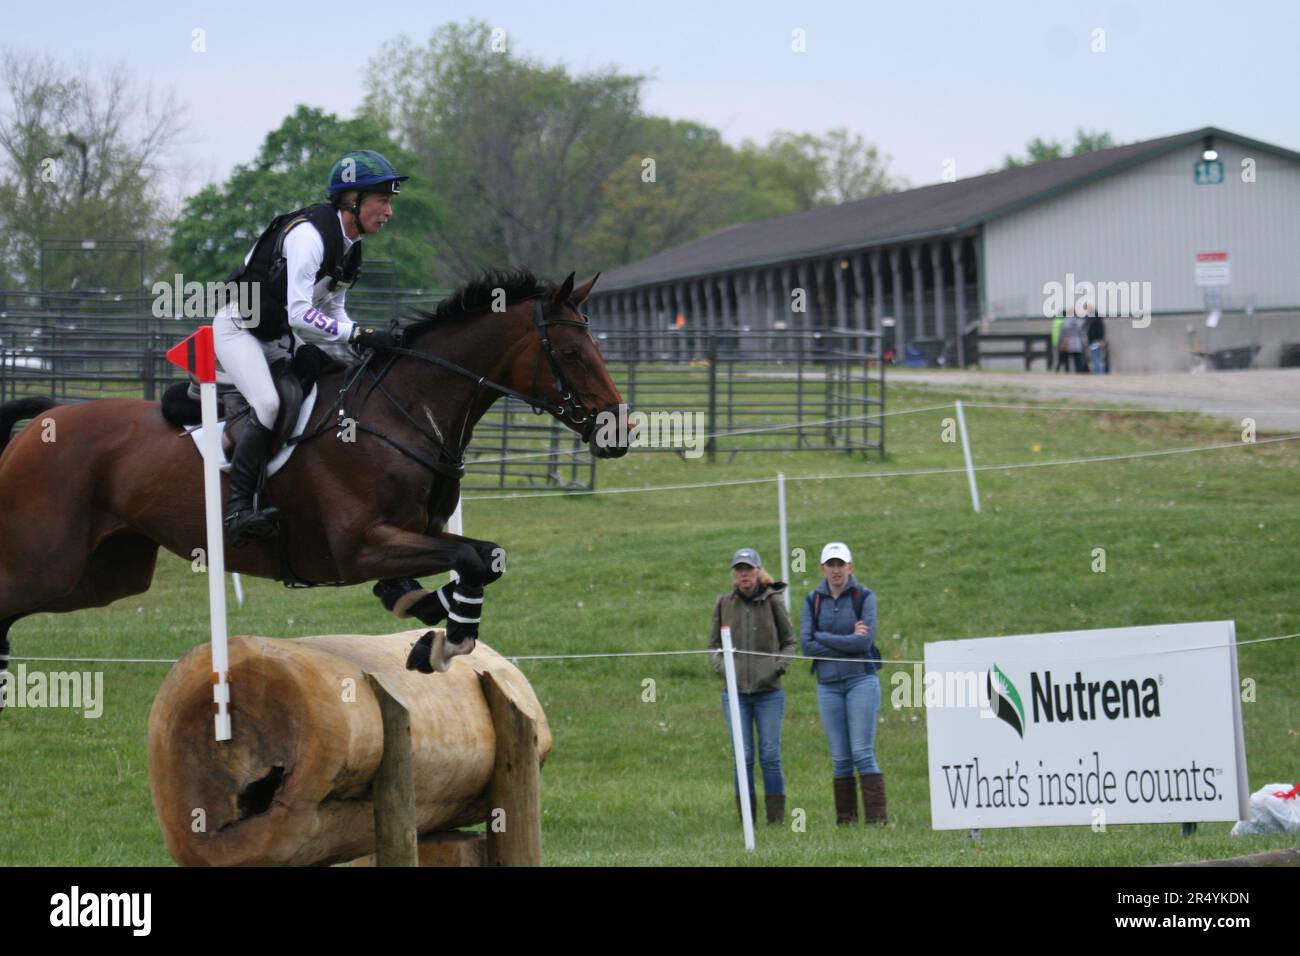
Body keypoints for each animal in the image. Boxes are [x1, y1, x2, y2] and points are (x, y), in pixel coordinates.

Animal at [0, 269, 630, 698]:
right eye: (571, 352)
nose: (617, 431)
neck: (403, 410)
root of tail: (49, 418)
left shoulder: (415, 534)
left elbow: (478, 560)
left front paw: (425, 615)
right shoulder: (361, 545)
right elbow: (474, 559)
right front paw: (441, 637)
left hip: (106, 574)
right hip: (49, 561)